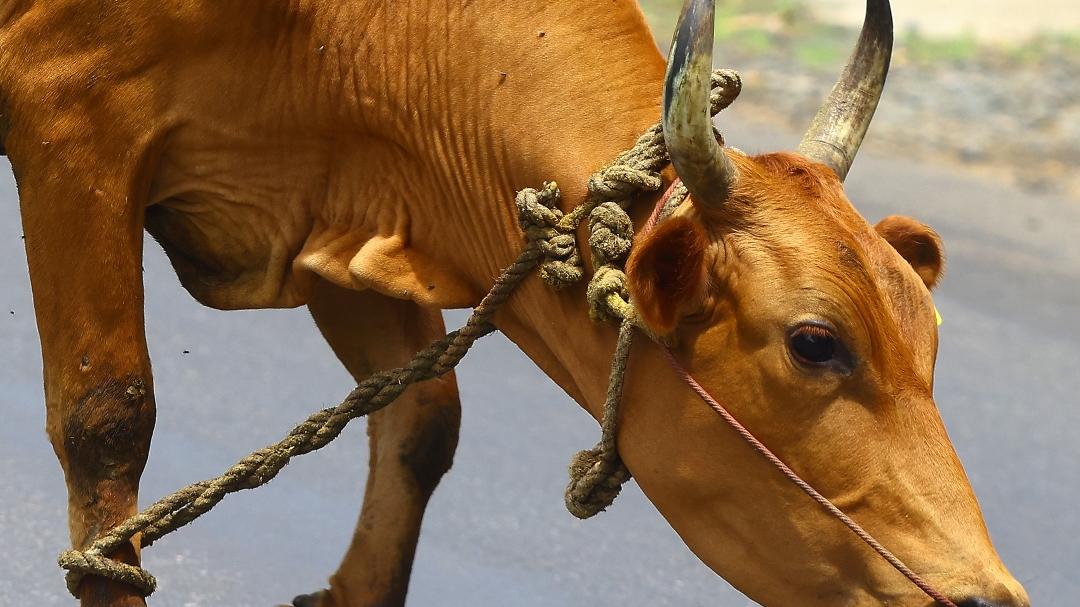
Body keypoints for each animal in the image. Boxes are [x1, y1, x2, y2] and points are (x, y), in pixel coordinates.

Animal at [0, 0, 1030, 605]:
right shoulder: (71, 115)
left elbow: (422, 422)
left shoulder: (345, 210)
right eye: (816, 341)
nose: (988, 597)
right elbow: (107, 423)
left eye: (930, 337)